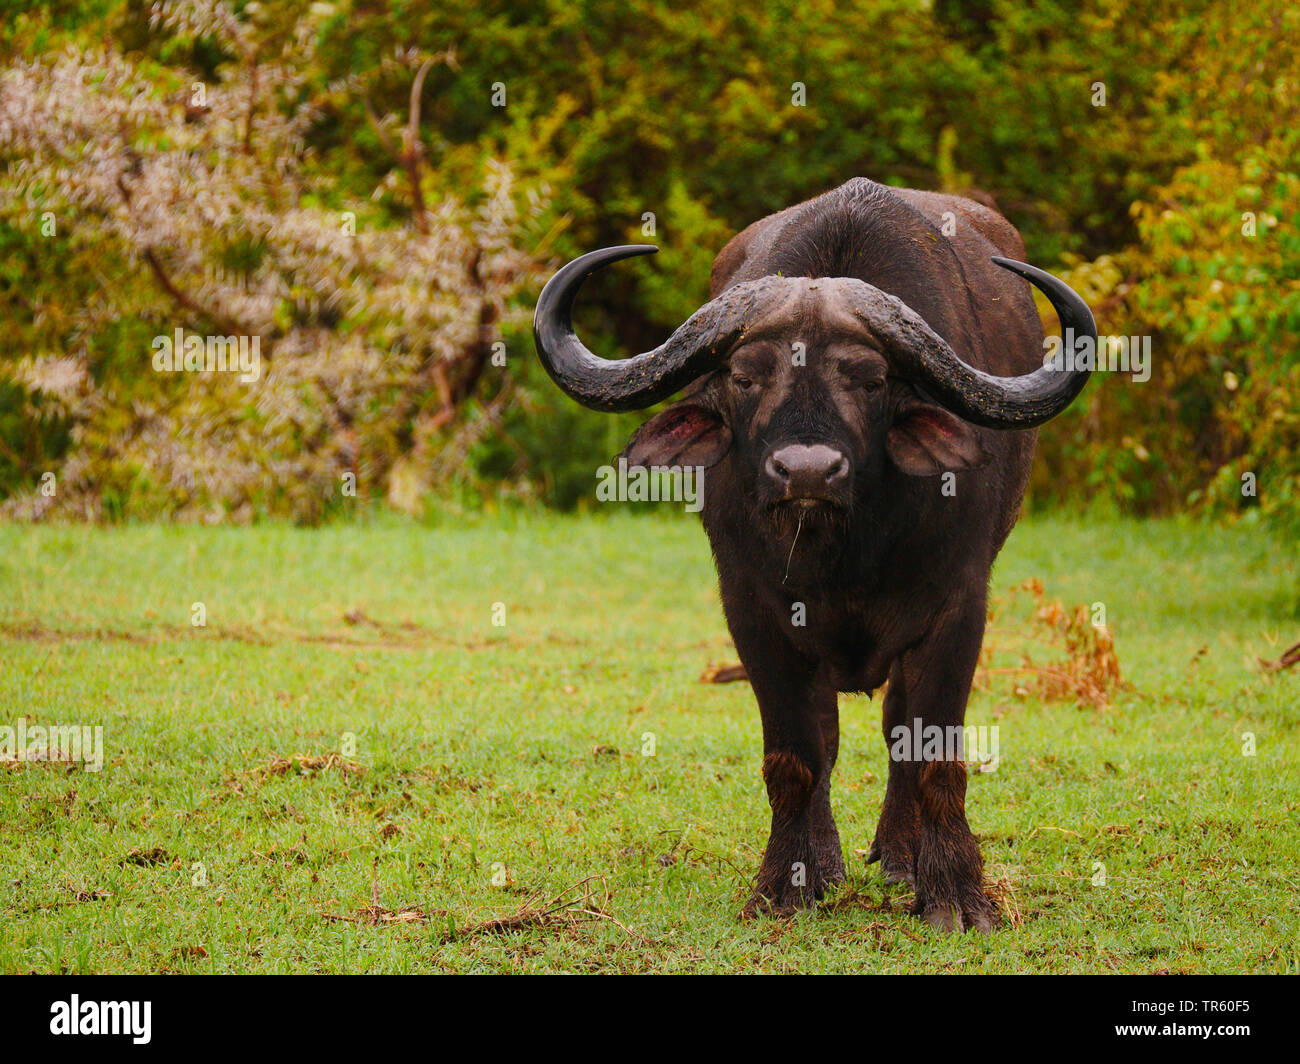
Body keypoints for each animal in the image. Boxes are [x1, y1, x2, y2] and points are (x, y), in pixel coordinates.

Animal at [533, 177, 1095, 931]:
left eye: (870, 379)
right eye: (745, 376)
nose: (806, 471)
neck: (844, 553)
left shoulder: (958, 605)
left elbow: (931, 748)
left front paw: (955, 894)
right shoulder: (751, 608)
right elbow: (798, 752)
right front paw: (788, 884)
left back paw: (899, 855)